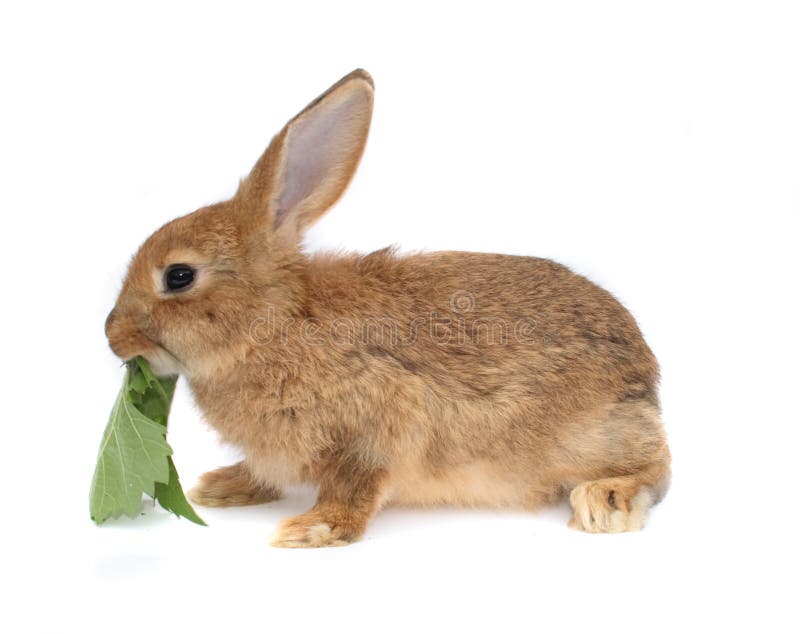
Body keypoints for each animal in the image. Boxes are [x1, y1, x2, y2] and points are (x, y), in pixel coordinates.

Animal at [105, 69, 670, 547]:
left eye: (179, 276)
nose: (112, 335)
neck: (274, 323)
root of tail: (646, 376)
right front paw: (222, 486)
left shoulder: (381, 423)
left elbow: (355, 486)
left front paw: (312, 529)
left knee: (658, 466)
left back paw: (605, 502)